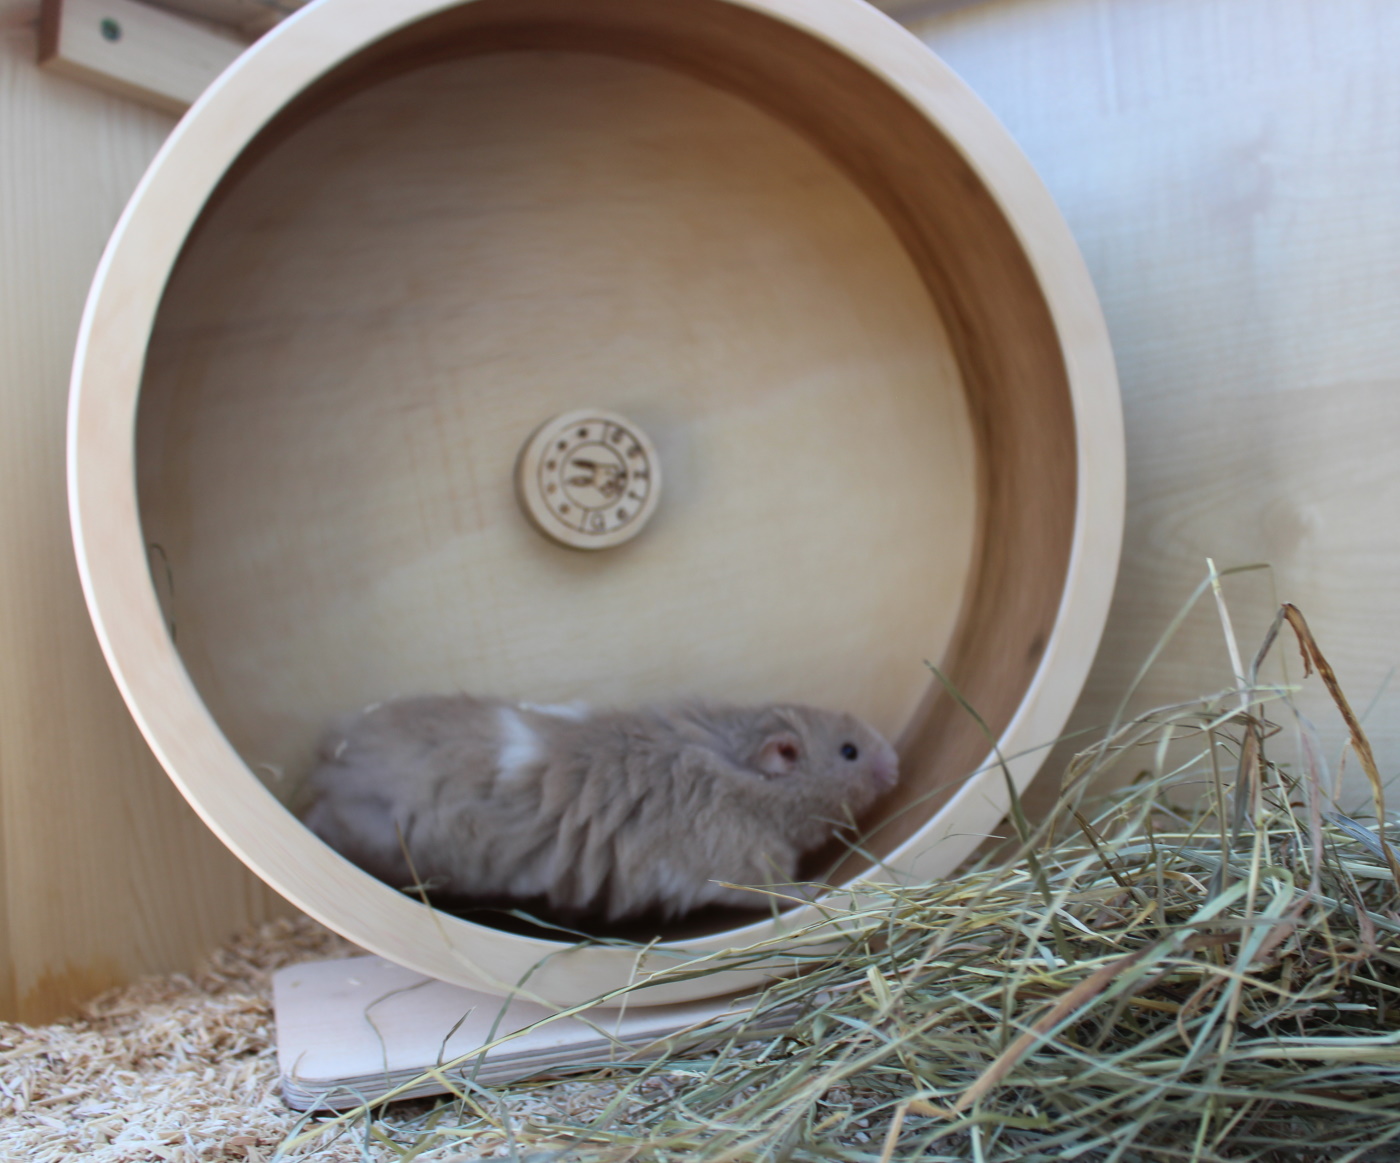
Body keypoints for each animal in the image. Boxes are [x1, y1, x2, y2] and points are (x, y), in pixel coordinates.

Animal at [298, 695, 899, 921]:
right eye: (849, 752)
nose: (896, 764)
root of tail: (329, 767)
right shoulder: (737, 857)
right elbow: (771, 888)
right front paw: (817, 889)